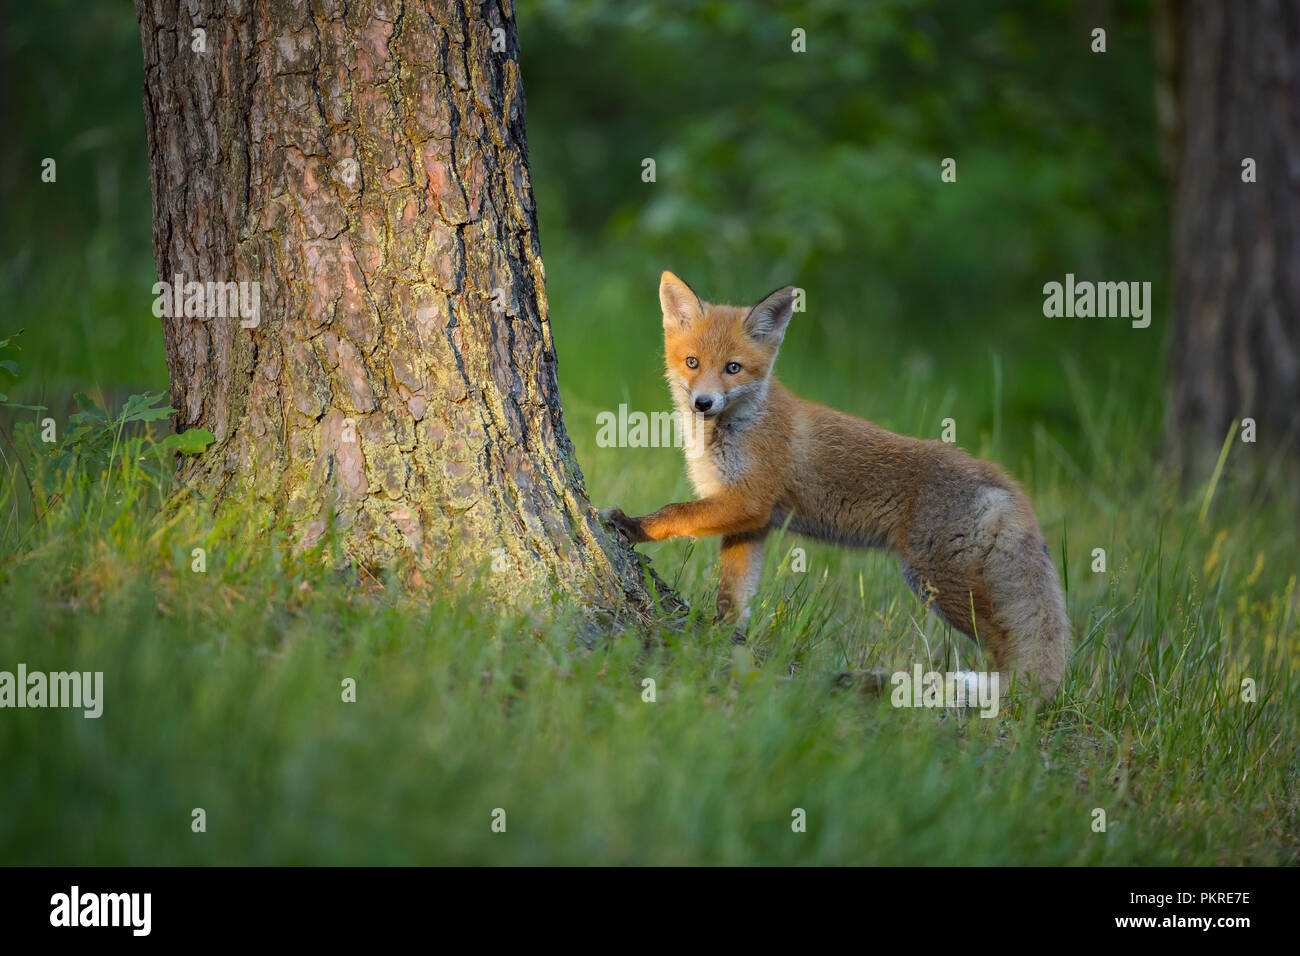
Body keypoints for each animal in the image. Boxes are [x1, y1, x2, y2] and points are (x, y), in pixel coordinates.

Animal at [601, 271, 1071, 699]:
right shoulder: (750, 522)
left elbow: (674, 512)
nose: (703, 403)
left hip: (938, 583)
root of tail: (1007, 481)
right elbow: (733, 596)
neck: (733, 430)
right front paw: (724, 638)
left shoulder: (749, 501)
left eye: (733, 368)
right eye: (692, 363)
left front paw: (632, 526)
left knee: (1010, 653)